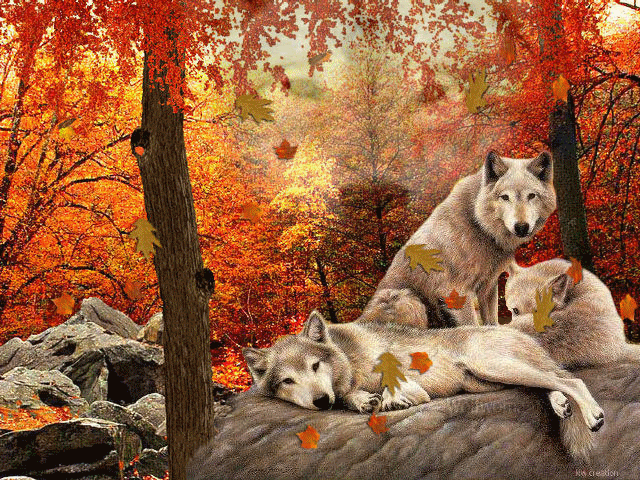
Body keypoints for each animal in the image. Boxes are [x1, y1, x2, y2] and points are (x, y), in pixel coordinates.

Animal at [243, 311, 604, 458]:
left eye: (315, 366)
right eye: (288, 380)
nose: (320, 402)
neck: (348, 355)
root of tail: (514, 330)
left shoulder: (407, 381)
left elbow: (397, 392)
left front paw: (390, 400)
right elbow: (350, 397)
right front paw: (363, 401)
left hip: (496, 366)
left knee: (572, 379)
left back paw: (593, 415)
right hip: (494, 379)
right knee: (554, 382)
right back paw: (560, 404)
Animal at [359, 150, 556, 328]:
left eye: (532, 196)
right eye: (505, 197)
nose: (521, 227)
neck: (479, 226)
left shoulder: (488, 287)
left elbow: (491, 322)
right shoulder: (456, 291)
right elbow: (473, 327)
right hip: (408, 300)